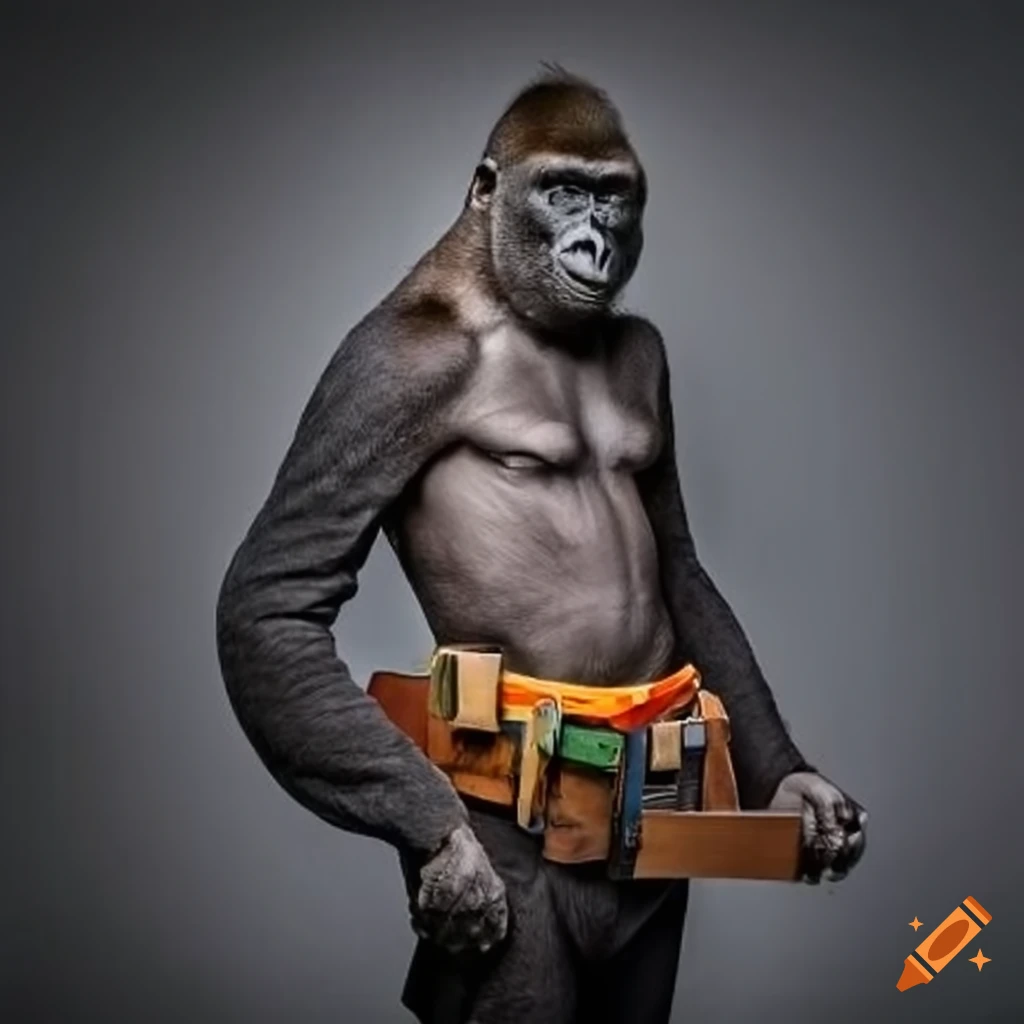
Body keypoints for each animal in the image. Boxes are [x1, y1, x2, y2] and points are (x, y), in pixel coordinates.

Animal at [216, 69, 867, 1024]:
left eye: (611, 195)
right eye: (561, 191)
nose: (592, 241)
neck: (497, 292)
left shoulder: (649, 355)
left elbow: (677, 555)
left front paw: (797, 788)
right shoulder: (386, 369)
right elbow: (276, 589)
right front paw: (450, 855)